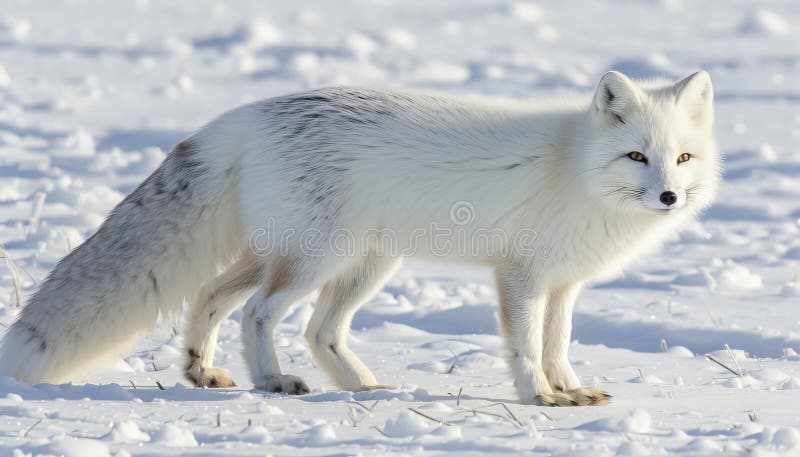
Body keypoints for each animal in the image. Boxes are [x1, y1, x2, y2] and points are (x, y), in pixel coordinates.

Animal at [0, 70, 719, 406]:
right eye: (635, 156)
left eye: (682, 158)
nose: (668, 197)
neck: (576, 169)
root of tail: (244, 114)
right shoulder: (520, 278)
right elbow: (525, 350)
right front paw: (536, 396)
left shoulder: (562, 283)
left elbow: (559, 345)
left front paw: (569, 391)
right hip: (319, 259)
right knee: (261, 312)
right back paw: (272, 380)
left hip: (353, 263)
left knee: (244, 306)